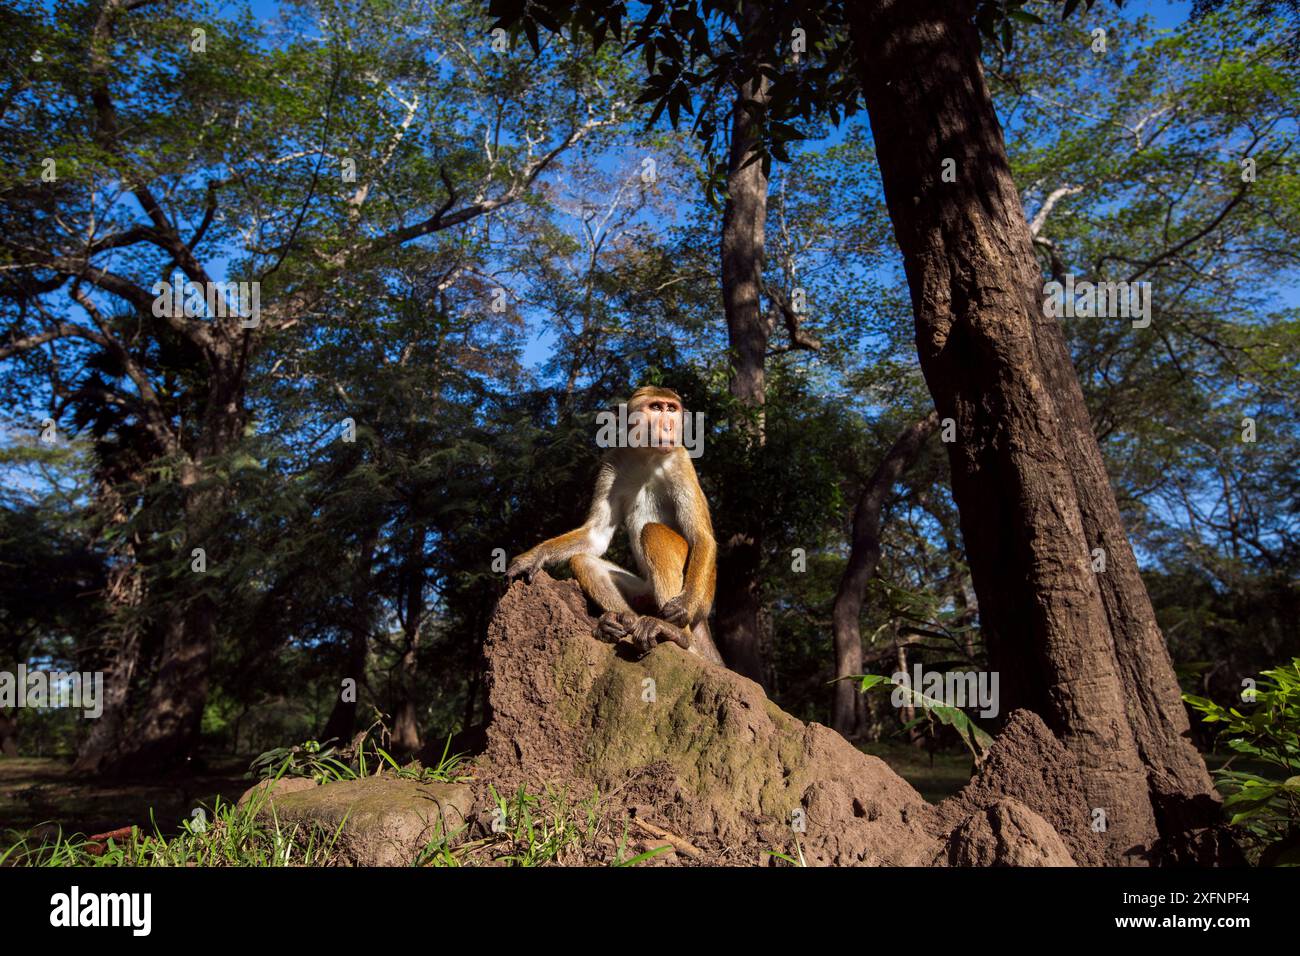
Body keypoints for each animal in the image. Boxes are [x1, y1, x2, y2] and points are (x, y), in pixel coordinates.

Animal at [506, 386, 725, 667]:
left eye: (672, 409)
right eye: (656, 408)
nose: (669, 426)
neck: (647, 455)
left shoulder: (680, 459)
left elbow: (700, 536)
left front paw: (683, 606)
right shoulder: (611, 462)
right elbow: (595, 536)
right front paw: (535, 555)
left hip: (703, 596)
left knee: (653, 531)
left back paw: (677, 634)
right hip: (646, 595)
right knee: (582, 560)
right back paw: (619, 622)